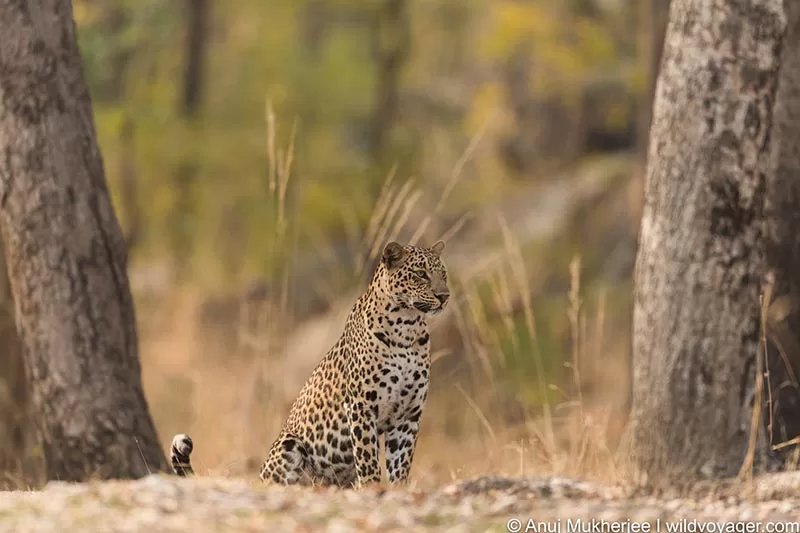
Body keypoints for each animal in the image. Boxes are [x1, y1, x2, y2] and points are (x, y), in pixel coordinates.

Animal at [170, 240, 450, 487]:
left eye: (444, 275)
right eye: (421, 275)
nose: (445, 296)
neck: (407, 328)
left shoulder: (408, 414)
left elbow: (401, 464)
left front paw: (396, 490)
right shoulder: (361, 407)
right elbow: (368, 458)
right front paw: (373, 488)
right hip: (290, 444)